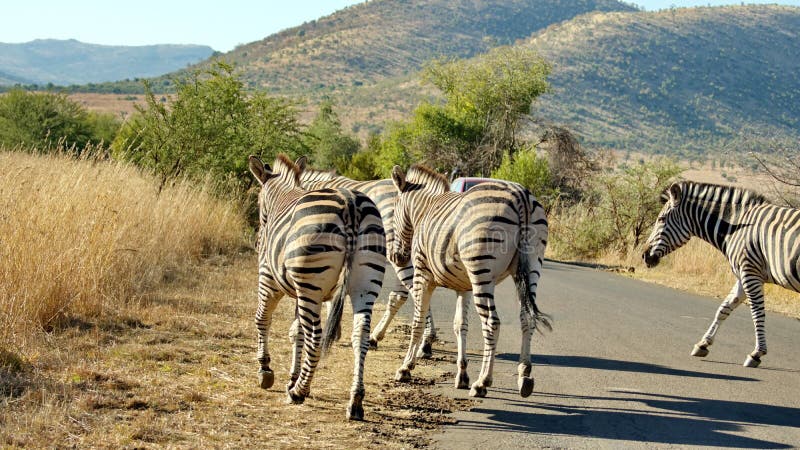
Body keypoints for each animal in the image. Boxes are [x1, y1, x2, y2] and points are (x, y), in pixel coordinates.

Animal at [248, 154, 386, 420]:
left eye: (259, 206)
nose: (259, 243)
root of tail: (350, 203)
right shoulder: (303, 292)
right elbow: (296, 331)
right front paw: (292, 377)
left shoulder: (269, 280)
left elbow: (263, 319)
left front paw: (266, 371)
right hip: (365, 282)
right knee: (360, 335)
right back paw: (355, 402)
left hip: (310, 281)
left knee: (315, 336)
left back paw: (298, 393)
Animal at [389, 164, 551, 398]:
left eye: (394, 211)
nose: (397, 258)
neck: (425, 209)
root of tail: (520, 195)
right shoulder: (463, 285)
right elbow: (460, 325)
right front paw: (462, 375)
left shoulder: (422, 273)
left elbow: (417, 321)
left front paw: (405, 368)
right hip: (531, 269)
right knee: (526, 318)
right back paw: (524, 377)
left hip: (481, 270)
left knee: (492, 322)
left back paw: (482, 382)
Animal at [642, 181, 800, 368]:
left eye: (661, 219)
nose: (644, 255)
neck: (737, 227)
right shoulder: (744, 274)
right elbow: (724, 308)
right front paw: (702, 344)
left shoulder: (750, 271)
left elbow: (757, 313)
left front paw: (757, 353)